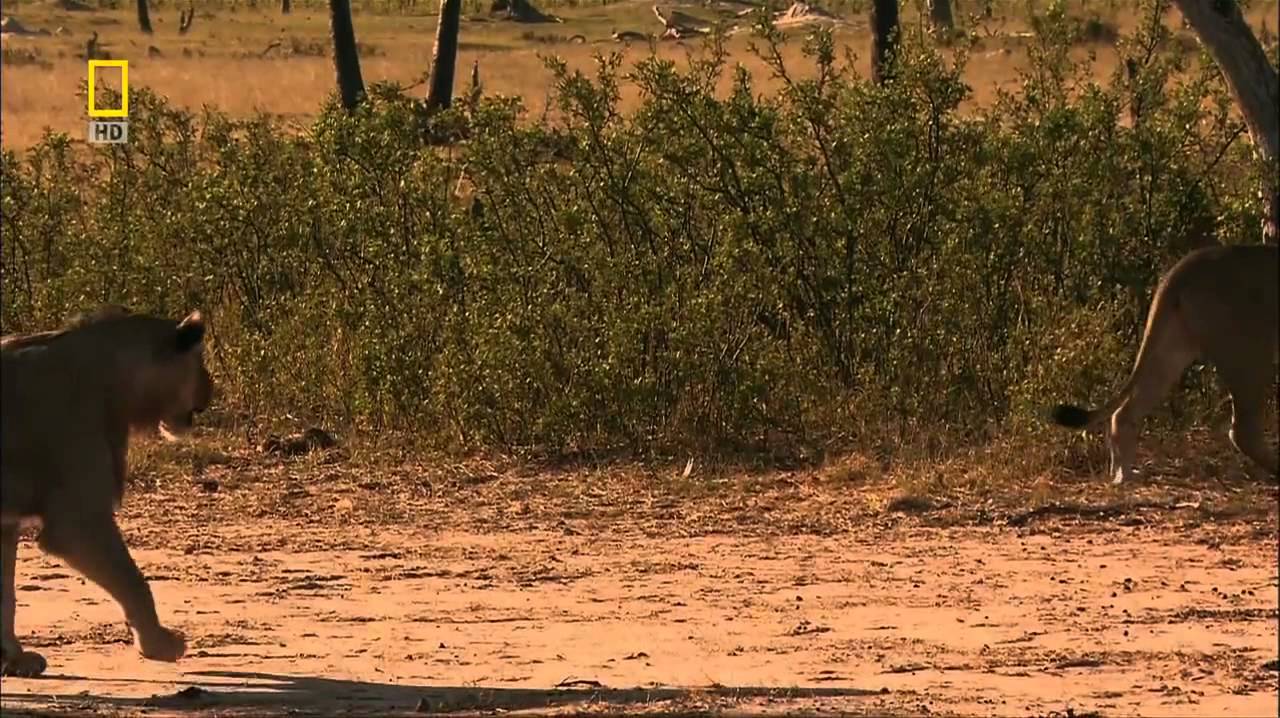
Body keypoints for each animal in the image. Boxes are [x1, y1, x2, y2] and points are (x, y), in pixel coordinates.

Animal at [1, 306, 214, 677]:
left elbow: (6, 596)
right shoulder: (78, 518)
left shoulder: (5, 524)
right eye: (200, 361)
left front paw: (16, 658)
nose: (211, 389)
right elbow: (132, 581)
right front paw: (160, 643)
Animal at [1049, 244, 1279, 485]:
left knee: (1124, 413)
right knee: (1243, 431)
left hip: (1173, 347)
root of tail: (1183, 268)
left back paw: (1124, 475)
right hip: (1247, 350)